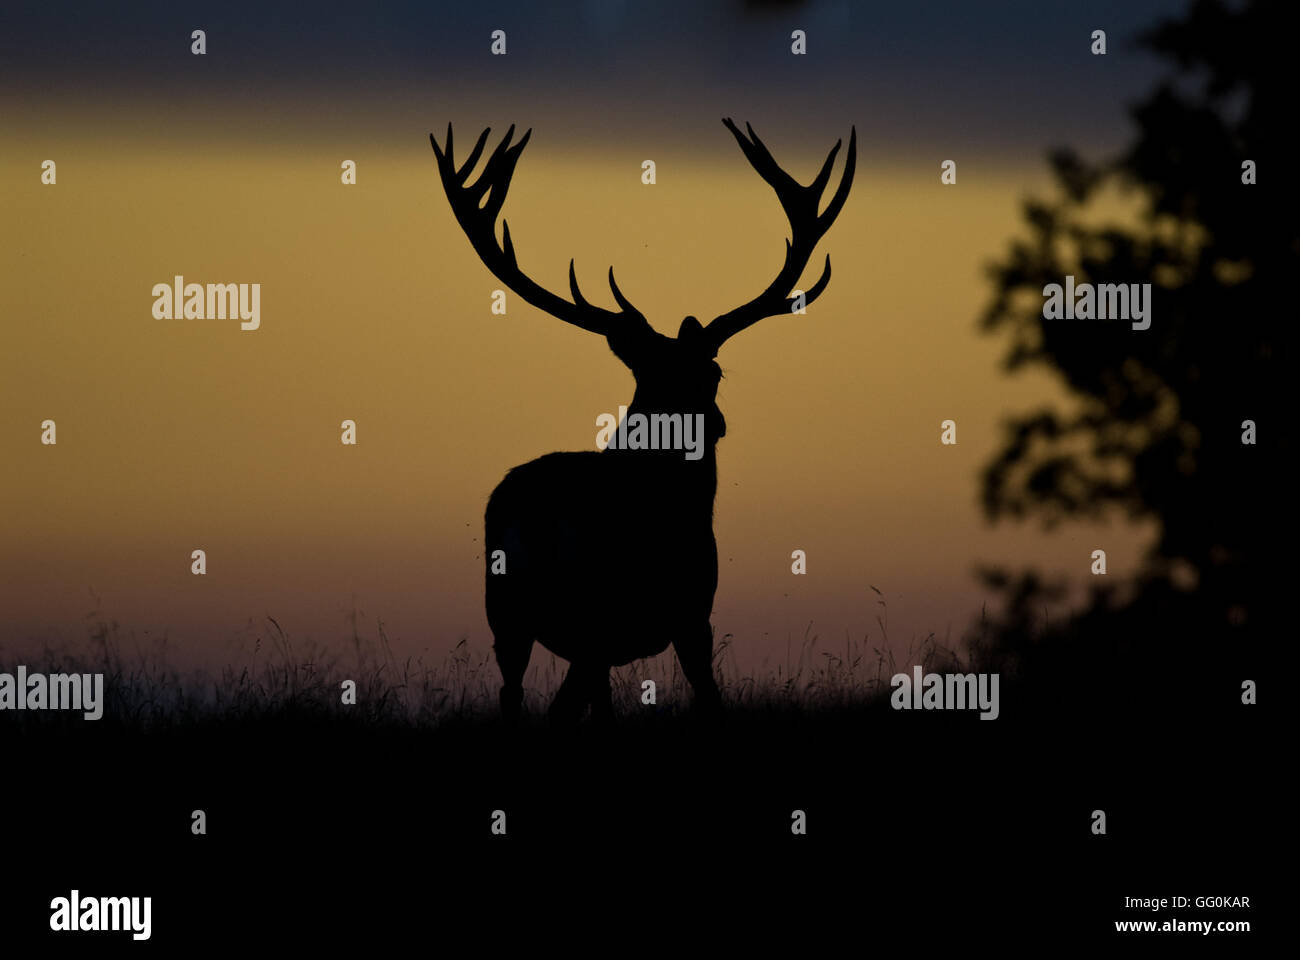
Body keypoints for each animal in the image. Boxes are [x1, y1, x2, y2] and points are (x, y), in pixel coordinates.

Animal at [429, 119, 855, 724]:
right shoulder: (692, 612)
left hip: (511, 615)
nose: (710, 424)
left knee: (520, 697)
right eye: (653, 378)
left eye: (713, 370)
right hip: (583, 611)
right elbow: (708, 696)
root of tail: (534, 521)